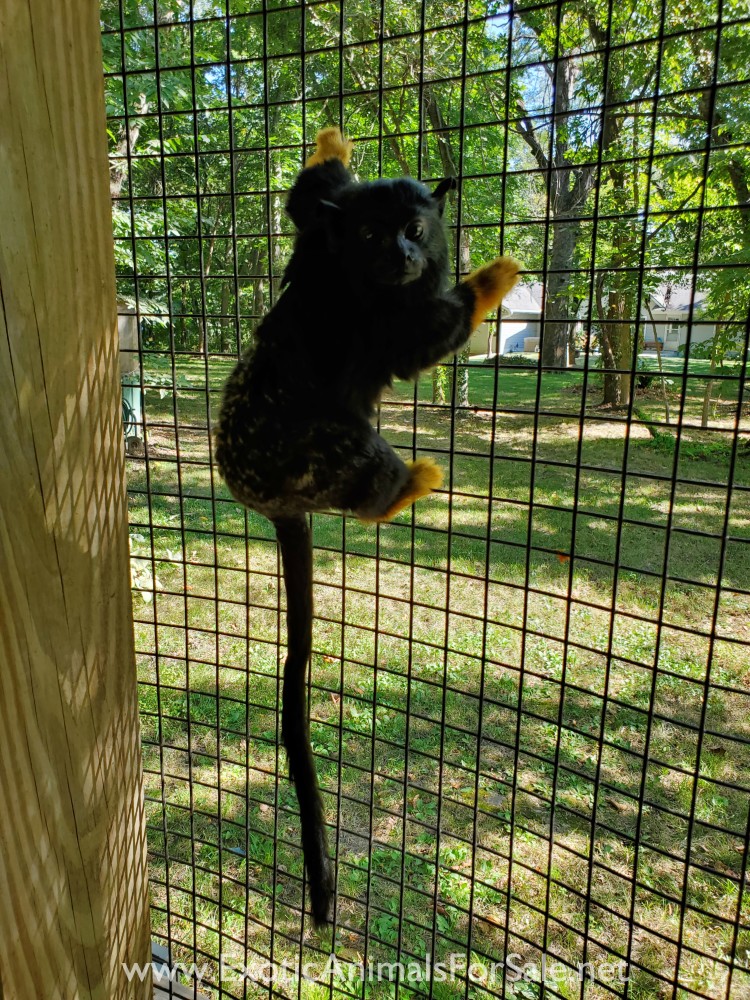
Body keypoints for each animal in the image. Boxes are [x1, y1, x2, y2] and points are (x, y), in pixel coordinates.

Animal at [214, 128, 520, 927]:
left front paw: (331, 143)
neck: (349, 270)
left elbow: (306, 194)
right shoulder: (379, 321)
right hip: (319, 458)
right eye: (375, 237)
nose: (407, 255)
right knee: (363, 458)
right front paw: (490, 280)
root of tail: (267, 500)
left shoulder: (313, 233)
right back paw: (402, 487)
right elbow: (427, 338)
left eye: (414, 227)